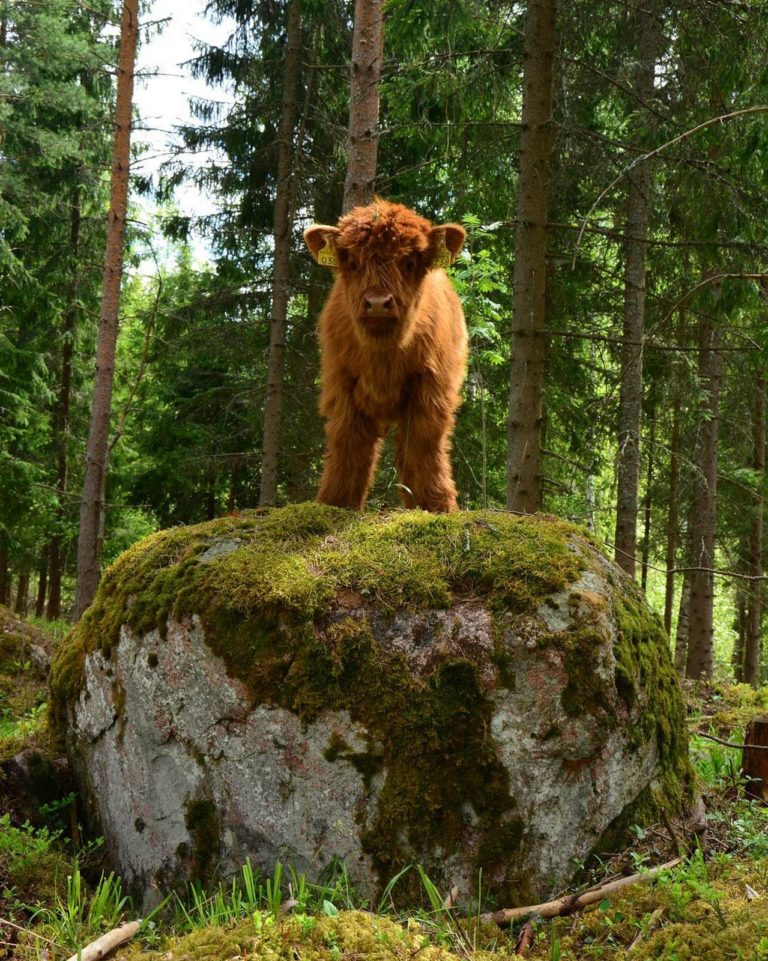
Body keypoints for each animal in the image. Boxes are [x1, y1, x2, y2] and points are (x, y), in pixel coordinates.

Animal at [304, 199, 467, 513]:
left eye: (409, 262)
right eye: (353, 262)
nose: (378, 303)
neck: (383, 356)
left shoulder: (431, 389)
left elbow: (425, 443)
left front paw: (437, 505)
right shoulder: (340, 383)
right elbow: (347, 440)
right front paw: (337, 502)